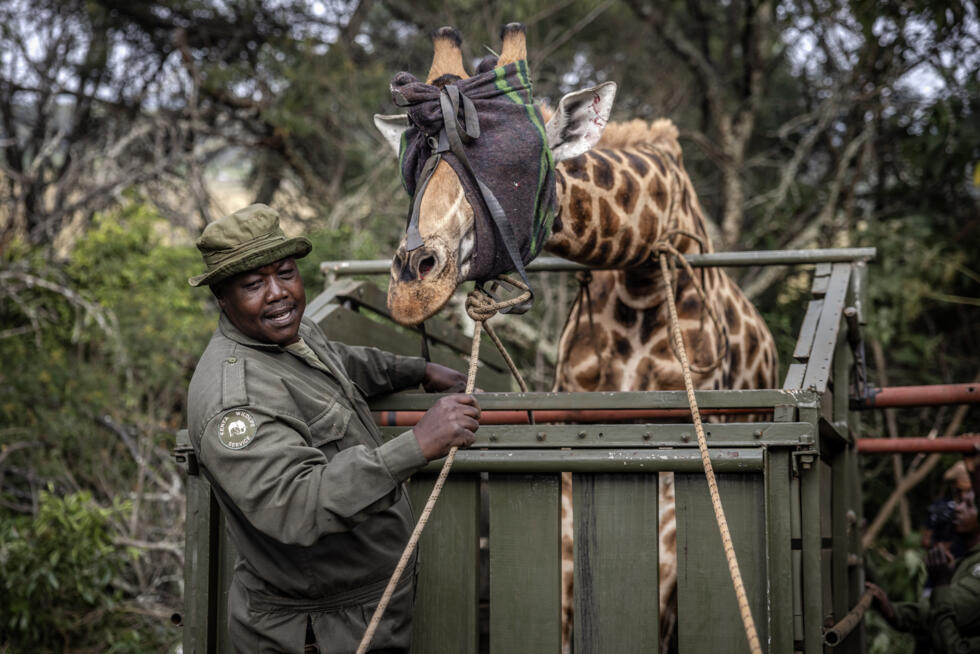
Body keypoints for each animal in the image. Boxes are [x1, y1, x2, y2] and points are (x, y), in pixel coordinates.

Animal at [374, 23, 779, 653]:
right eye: (412, 165)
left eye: (514, 161)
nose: (412, 284)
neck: (642, 274)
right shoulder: (570, 451)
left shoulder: (686, 448)